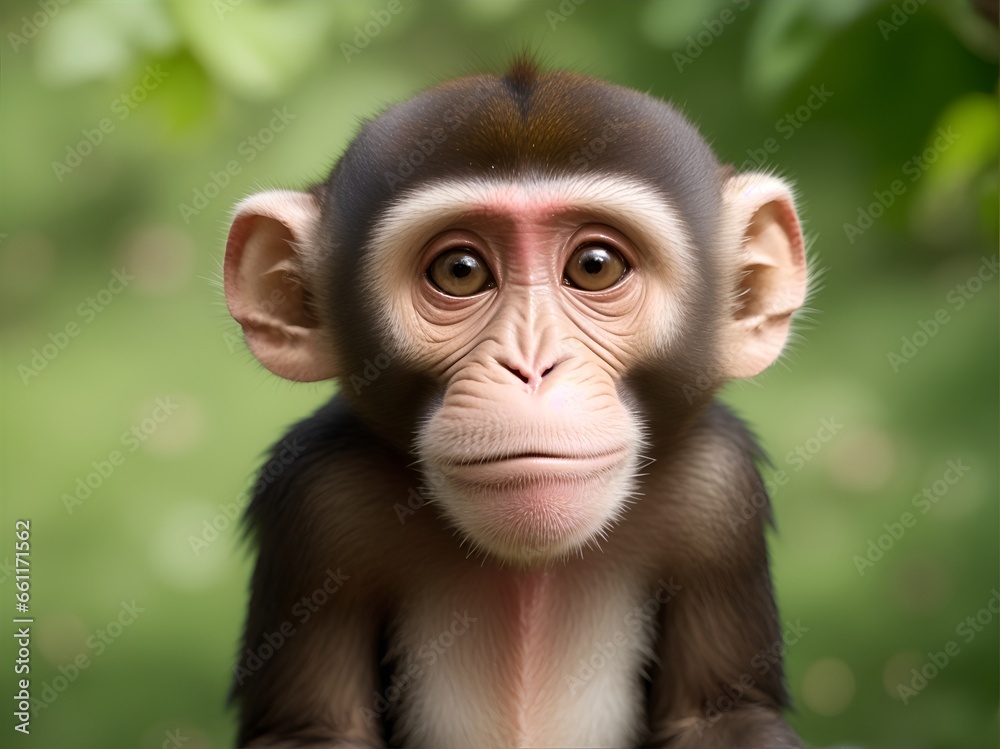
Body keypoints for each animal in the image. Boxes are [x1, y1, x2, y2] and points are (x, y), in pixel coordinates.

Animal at [223, 57, 809, 749]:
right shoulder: (318, 501)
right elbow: (312, 731)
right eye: (460, 271)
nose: (532, 367)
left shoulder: (716, 490)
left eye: (595, 265)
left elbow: (722, 716)